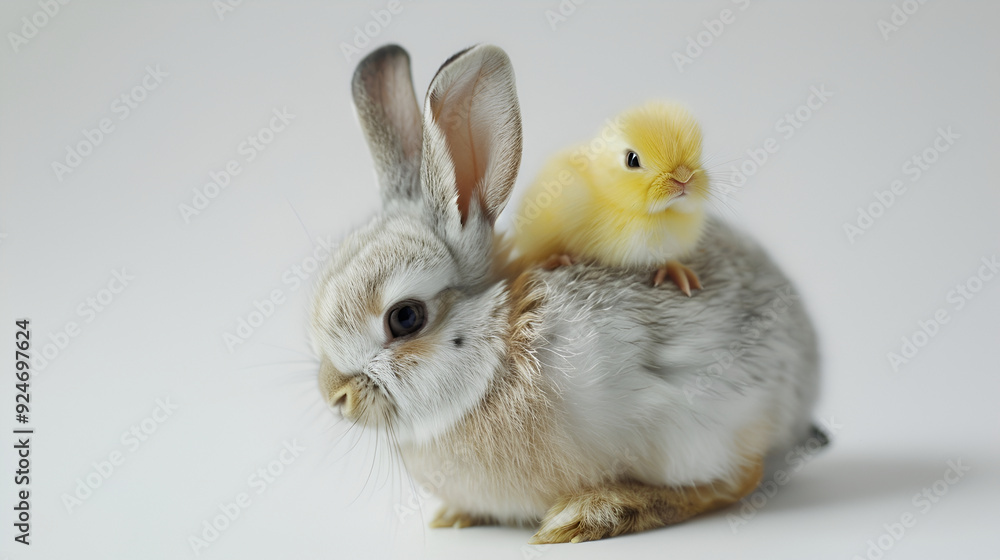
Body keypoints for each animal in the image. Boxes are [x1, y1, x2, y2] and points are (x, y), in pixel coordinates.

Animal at [310, 43, 822, 544]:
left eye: (405, 318)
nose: (335, 398)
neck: (495, 352)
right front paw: (455, 515)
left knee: (740, 478)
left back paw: (598, 512)